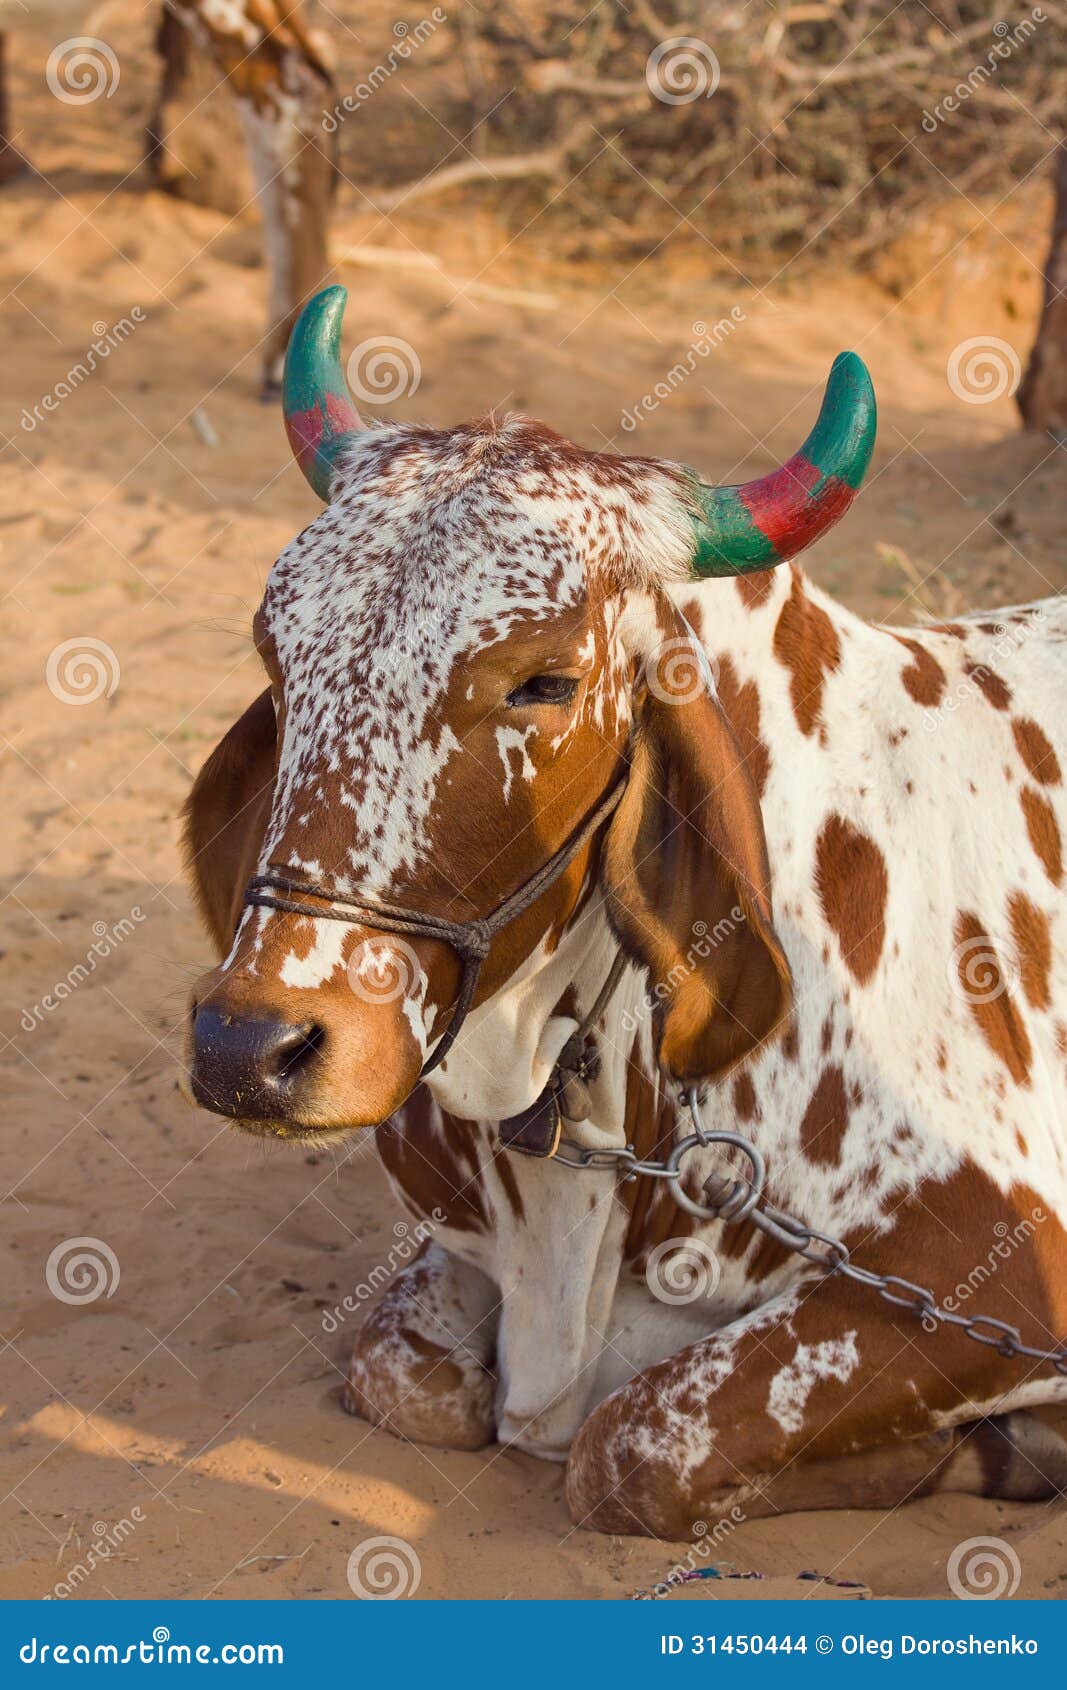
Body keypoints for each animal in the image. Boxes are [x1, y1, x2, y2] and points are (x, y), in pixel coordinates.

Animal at [182, 285, 1067, 1541]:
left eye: (544, 681)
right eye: (277, 650)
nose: (250, 1047)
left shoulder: (997, 1272)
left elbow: (627, 1447)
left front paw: (986, 1448)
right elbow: (404, 1376)